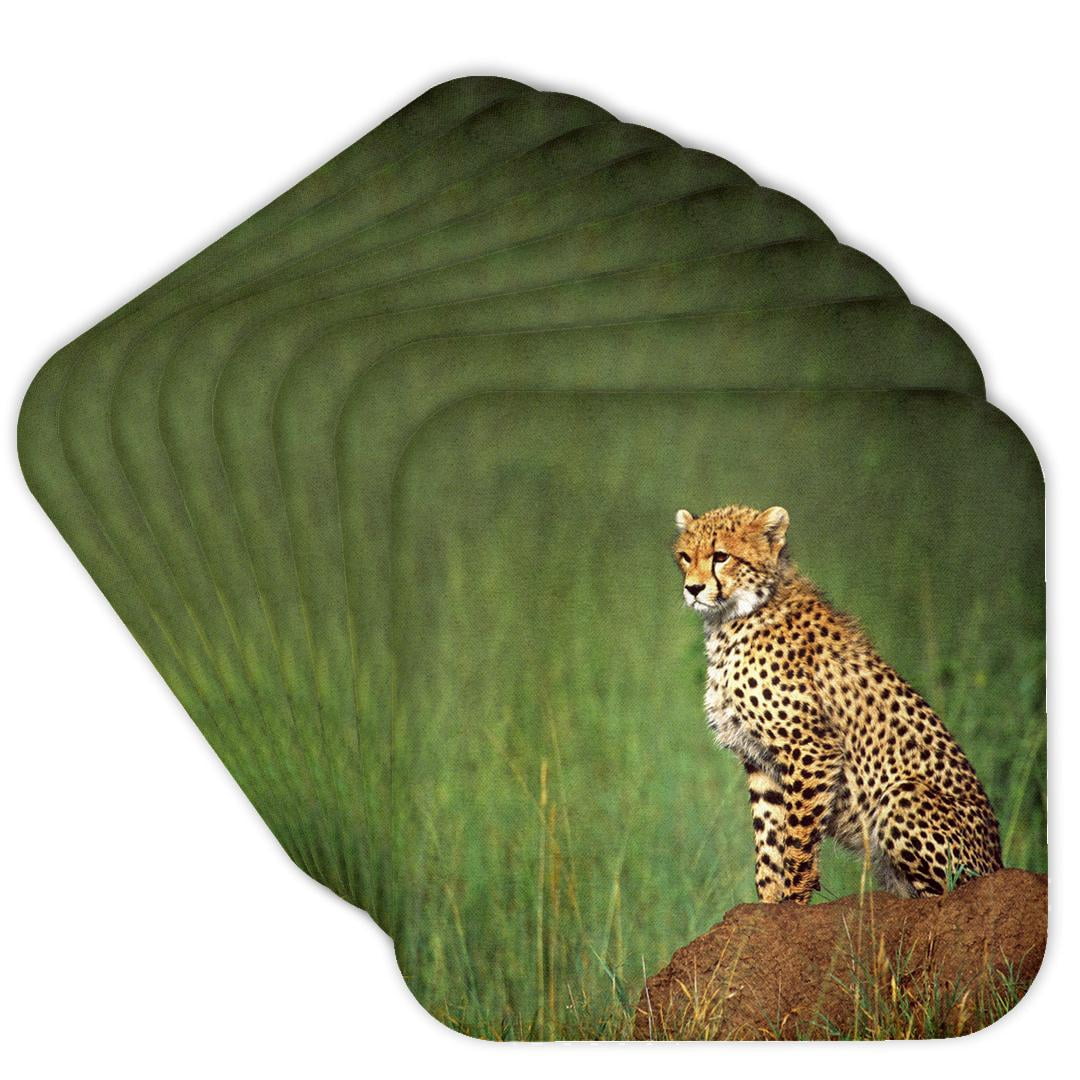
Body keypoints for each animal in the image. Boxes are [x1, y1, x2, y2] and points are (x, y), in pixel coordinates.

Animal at [673, 503, 1002, 903]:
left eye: (721, 556)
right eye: (685, 557)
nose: (693, 588)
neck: (734, 616)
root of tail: (999, 862)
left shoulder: (811, 749)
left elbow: (797, 839)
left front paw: (793, 902)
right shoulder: (761, 763)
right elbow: (768, 845)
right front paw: (768, 903)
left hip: (902, 797)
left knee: (944, 893)